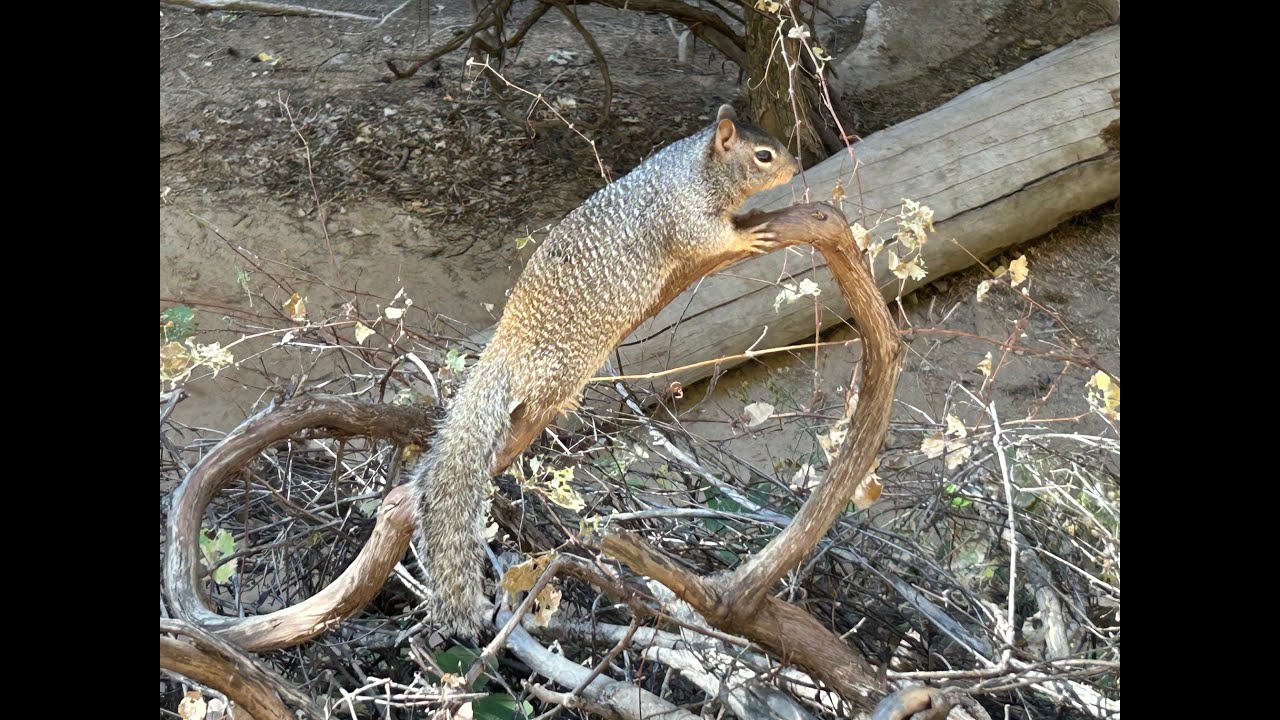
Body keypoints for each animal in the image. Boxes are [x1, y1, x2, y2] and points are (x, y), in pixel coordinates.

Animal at [408, 104, 801, 639]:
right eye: (764, 155)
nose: (797, 166)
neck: (696, 168)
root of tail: (506, 349)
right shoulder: (685, 216)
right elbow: (708, 238)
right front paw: (747, 234)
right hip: (563, 366)